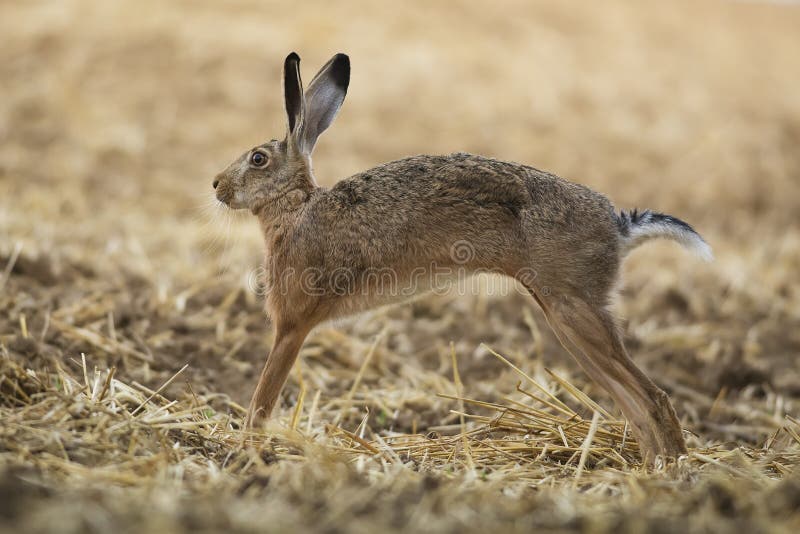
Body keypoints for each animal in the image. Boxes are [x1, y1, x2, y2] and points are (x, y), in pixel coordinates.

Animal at [212, 52, 712, 463]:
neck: (296, 208)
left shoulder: (292, 327)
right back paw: (653, 468)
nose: (216, 185)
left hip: (573, 307)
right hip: (566, 316)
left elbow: (264, 397)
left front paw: (245, 448)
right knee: (634, 401)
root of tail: (619, 226)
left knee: (653, 398)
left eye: (258, 159)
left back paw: (674, 471)